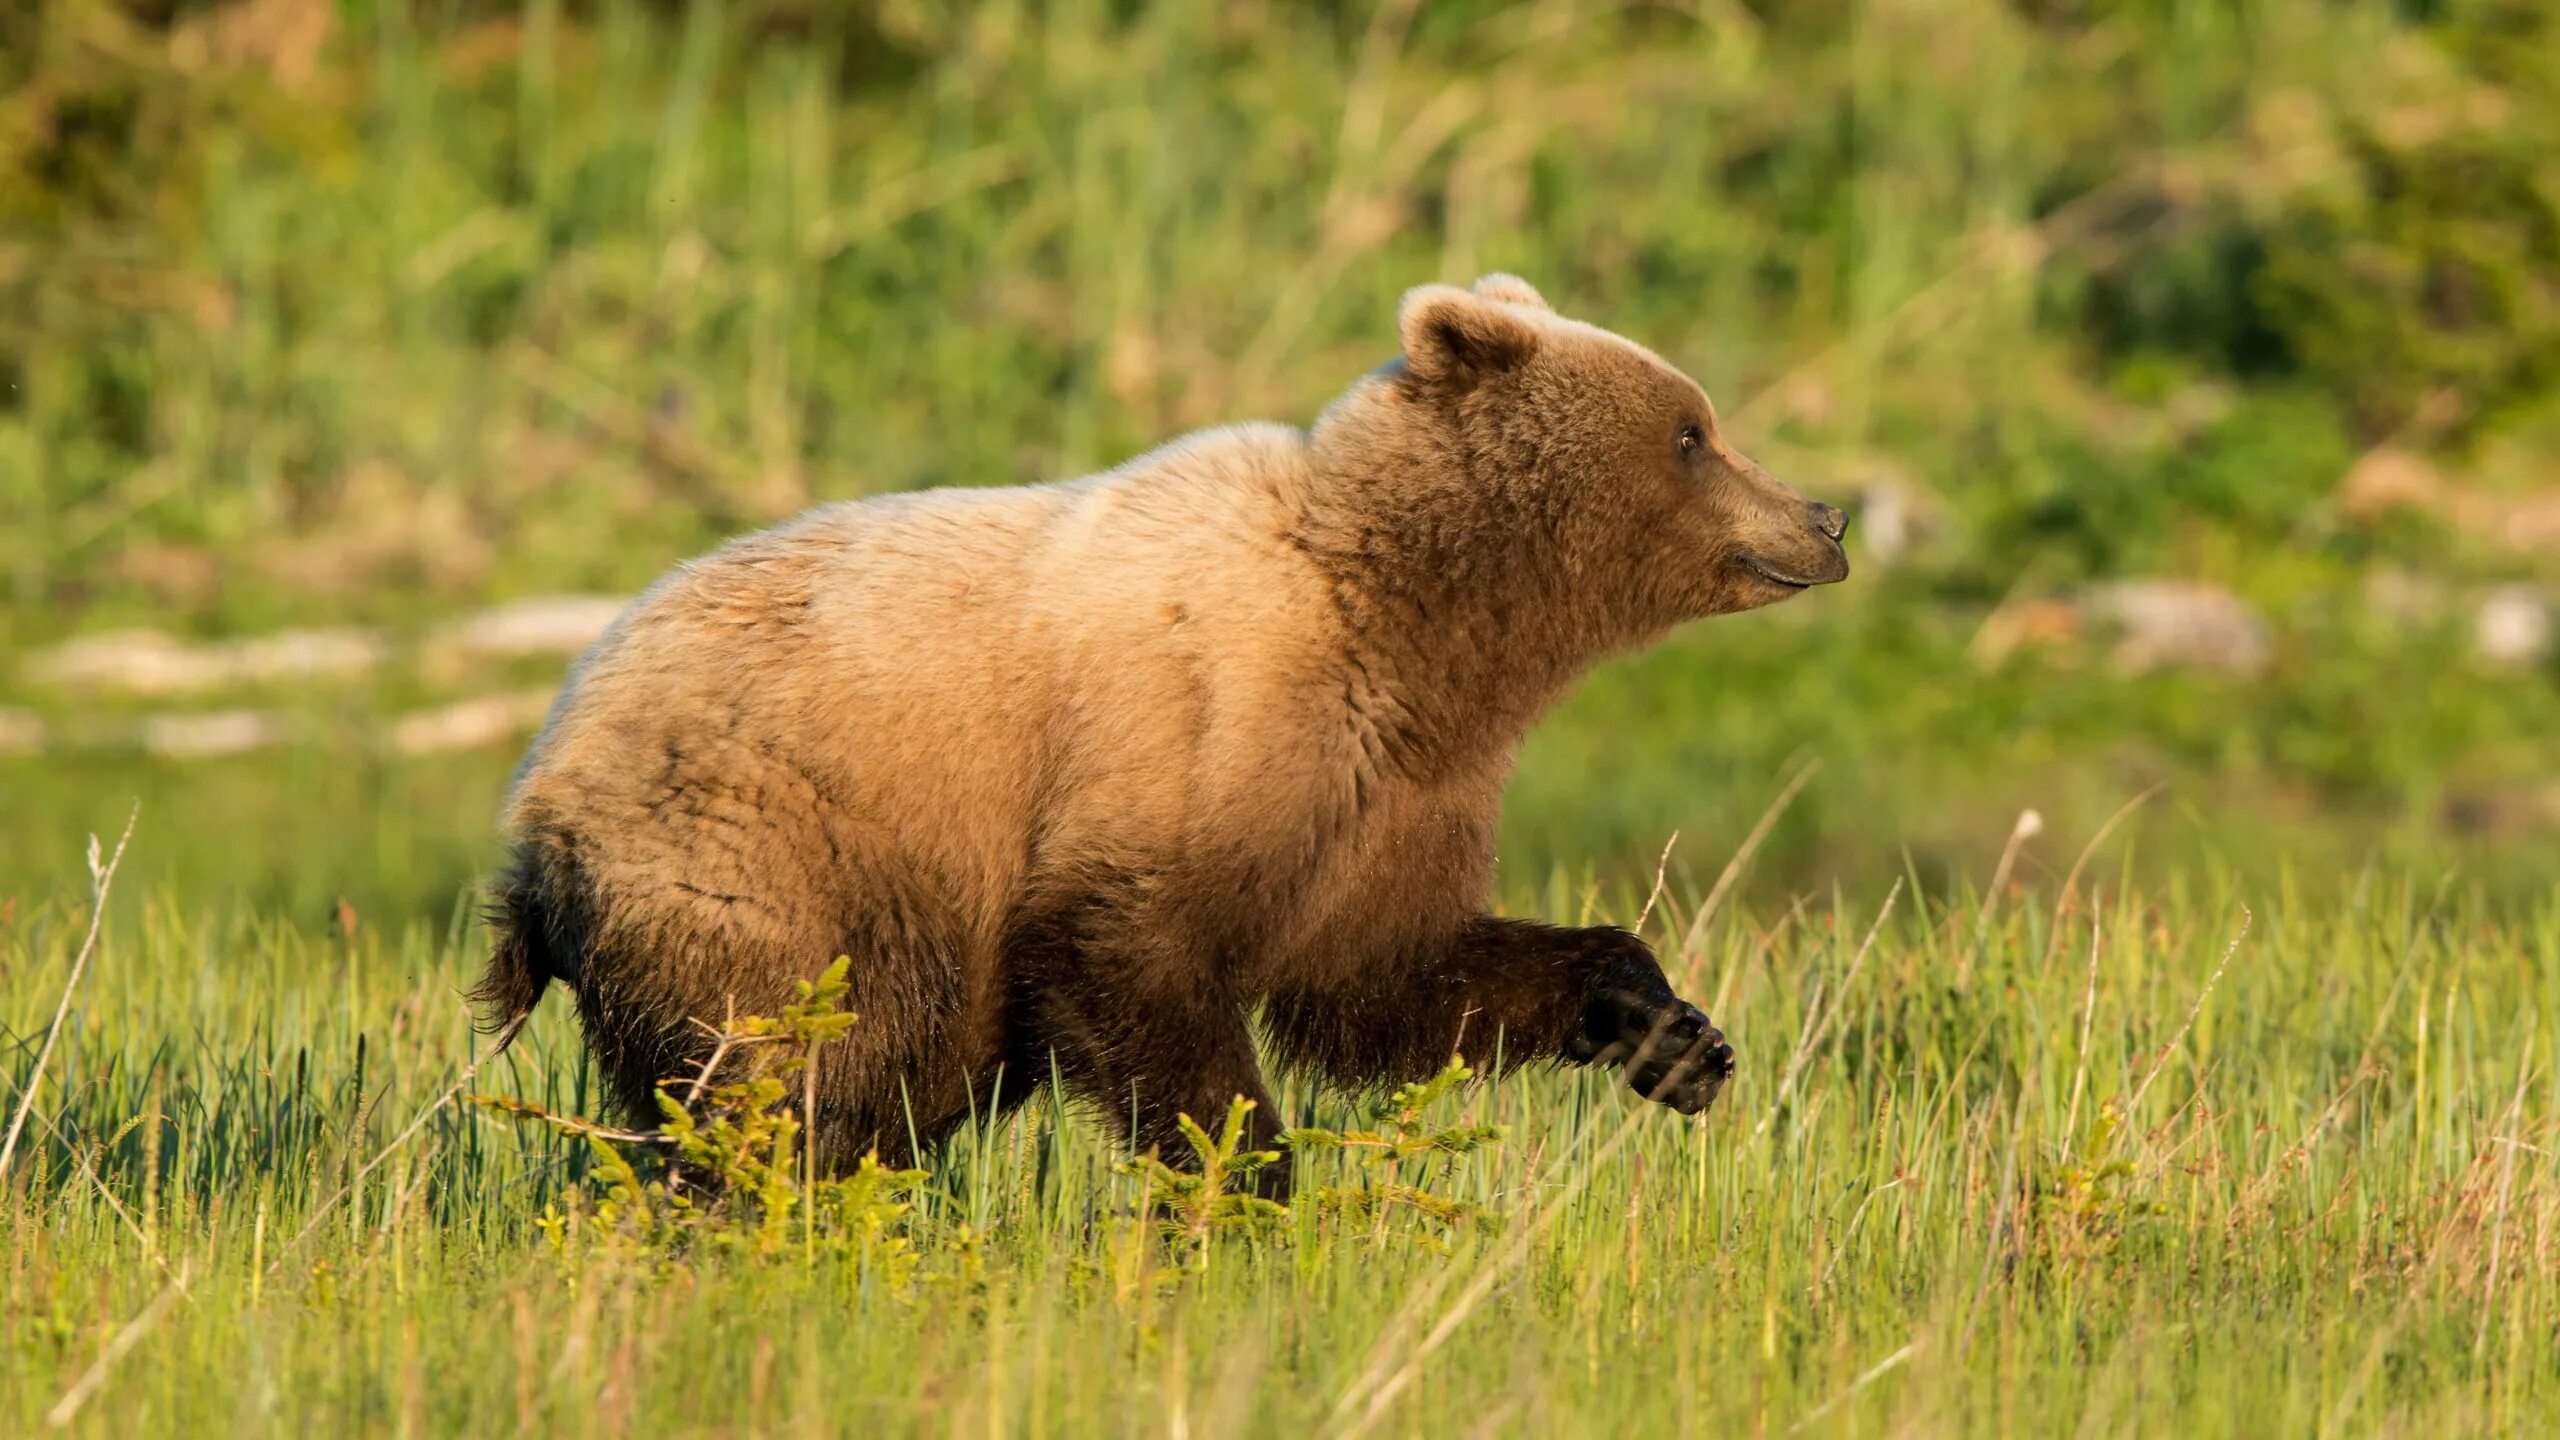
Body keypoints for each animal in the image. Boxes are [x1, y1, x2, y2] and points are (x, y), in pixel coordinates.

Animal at [474, 274, 1849, 1190]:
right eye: (1692, 431)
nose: (1827, 516)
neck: (1411, 621)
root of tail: (532, 803)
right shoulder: (1202, 724)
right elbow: (1139, 962)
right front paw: (1248, 1178)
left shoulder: (1395, 786)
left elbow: (1391, 972)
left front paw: (1672, 1036)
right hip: (772, 857)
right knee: (779, 1074)